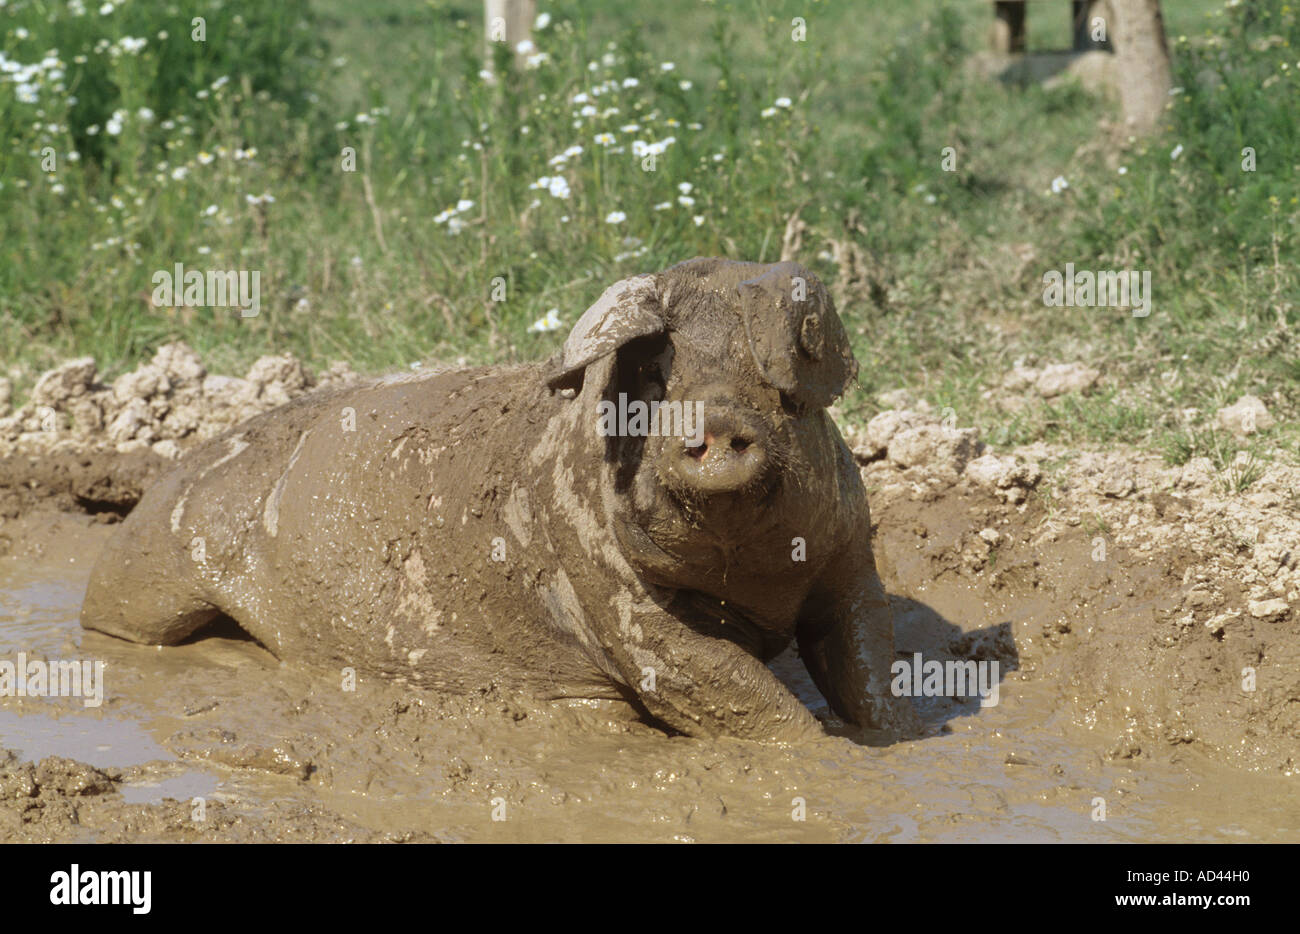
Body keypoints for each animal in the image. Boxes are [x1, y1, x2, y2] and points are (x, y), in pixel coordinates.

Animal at [81, 258, 919, 743]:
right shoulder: (605, 584)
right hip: (147, 572)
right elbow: (716, 681)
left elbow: (865, 649)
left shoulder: (851, 551)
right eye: (655, 376)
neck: (751, 580)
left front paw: (893, 733)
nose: (710, 420)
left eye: (773, 384)